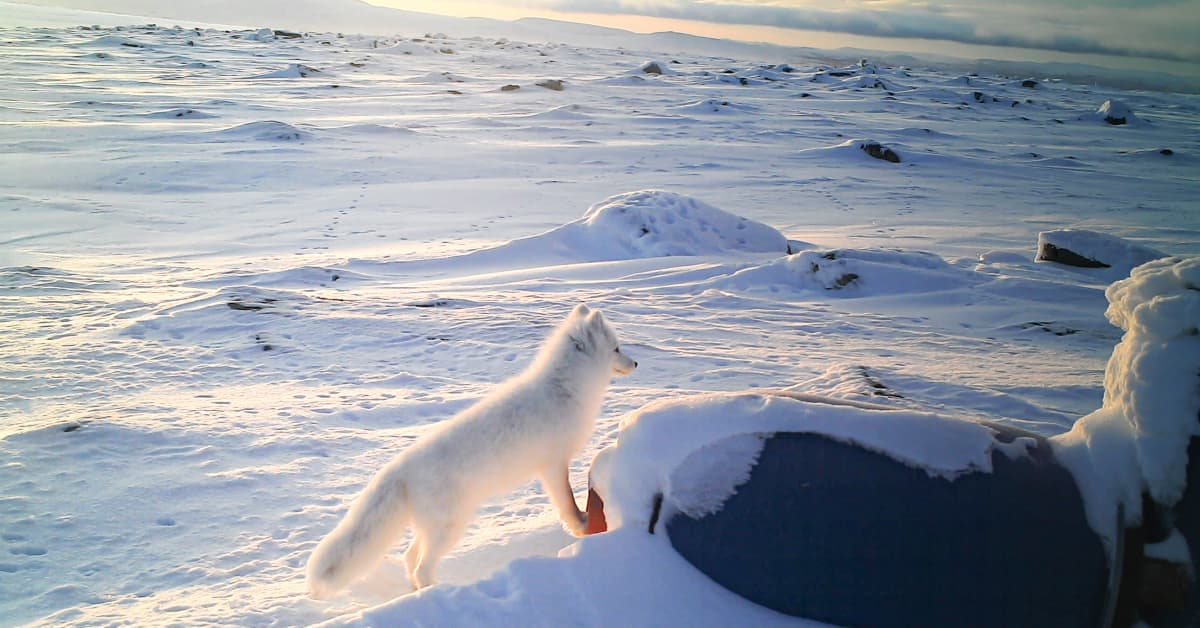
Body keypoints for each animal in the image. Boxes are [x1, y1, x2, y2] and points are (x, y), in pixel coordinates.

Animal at [306, 304, 637, 599]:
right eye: (617, 348)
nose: (636, 364)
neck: (563, 389)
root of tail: (399, 468)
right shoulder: (554, 465)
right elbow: (566, 502)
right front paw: (581, 524)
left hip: (432, 527)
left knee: (410, 559)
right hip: (449, 527)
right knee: (421, 567)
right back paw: (436, 593)